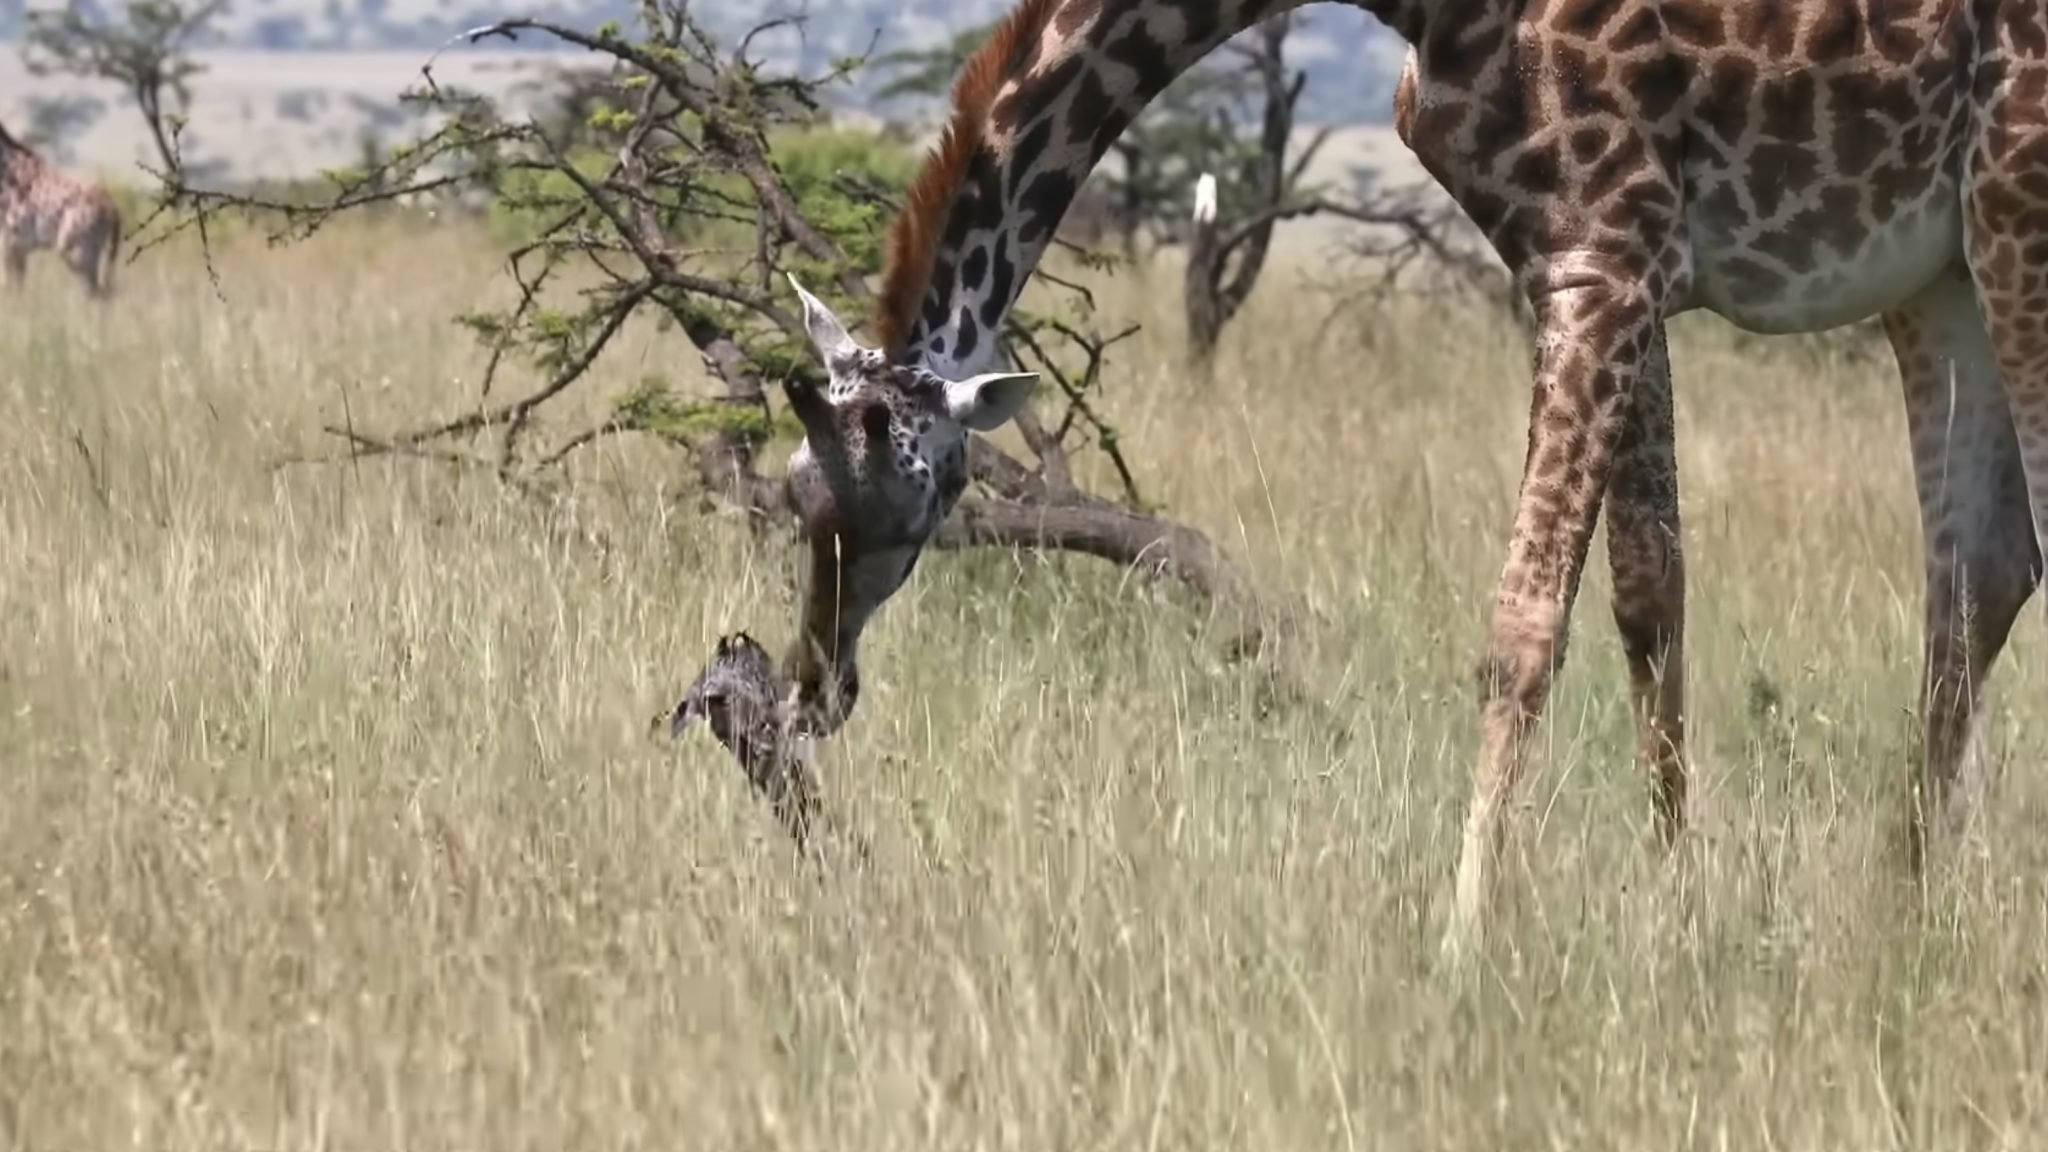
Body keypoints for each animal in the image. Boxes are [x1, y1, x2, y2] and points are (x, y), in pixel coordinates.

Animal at [0, 121, 123, 299]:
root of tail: (112, 208)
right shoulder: (17, 248)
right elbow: (17, 288)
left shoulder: (8, 242)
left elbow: (7, 288)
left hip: (76, 253)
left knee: (95, 293)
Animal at [753, 0, 2048, 966]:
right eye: (798, 498)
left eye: (901, 504)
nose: (813, 685)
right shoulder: (1620, 261)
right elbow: (1649, 595)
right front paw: (1677, 899)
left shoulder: (1598, 254)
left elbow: (1522, 630)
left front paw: (1461, 939)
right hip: (1938, 269)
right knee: (1982, 571)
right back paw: (1902, 910)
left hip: (2014, 207)